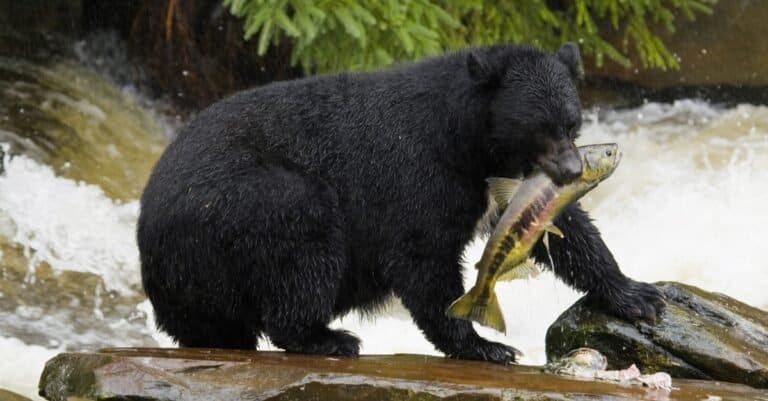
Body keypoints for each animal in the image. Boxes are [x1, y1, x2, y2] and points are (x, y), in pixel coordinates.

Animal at [137, 42, 665, 364]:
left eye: (573, 123)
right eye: (541, 127)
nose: (574, 171)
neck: (471, 141)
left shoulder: (514, 180)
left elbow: (565, 227)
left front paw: (638, 295)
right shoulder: (417, 172)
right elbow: (421, 257)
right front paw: (483, 344)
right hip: (240, 206)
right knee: (302, 235)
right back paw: (327, 337)